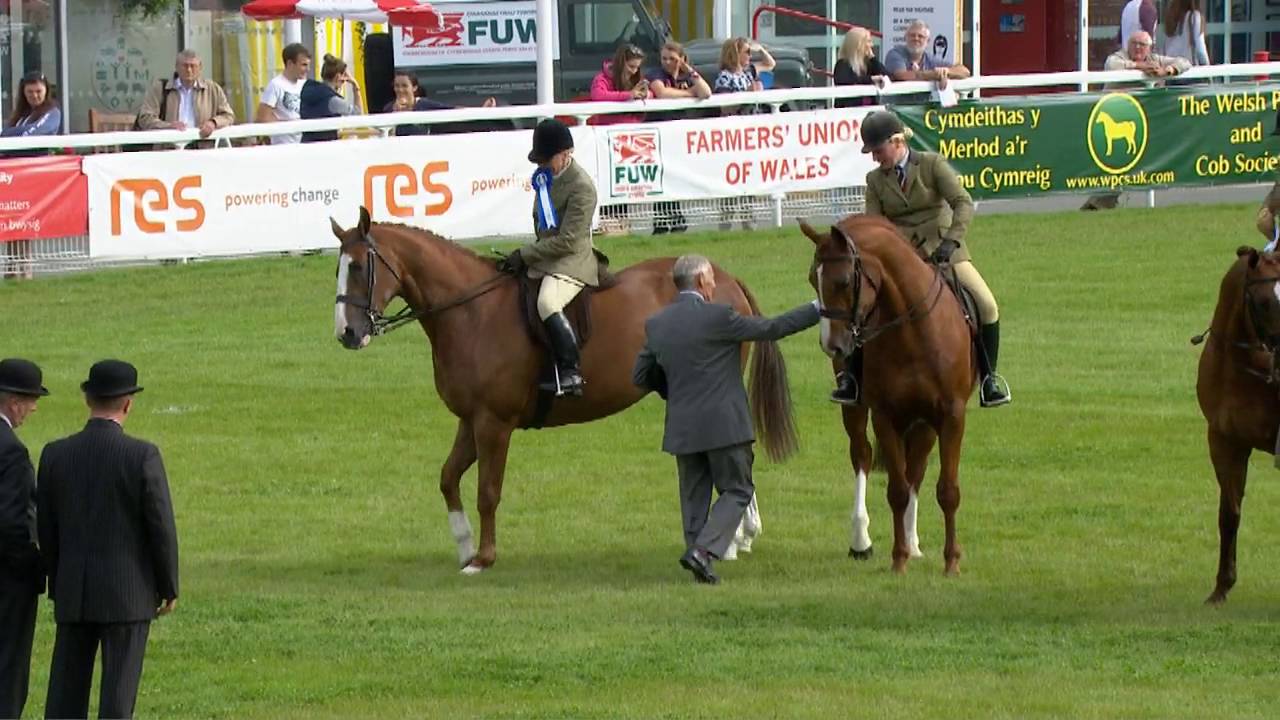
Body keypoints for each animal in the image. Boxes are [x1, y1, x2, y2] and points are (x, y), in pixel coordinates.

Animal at [330, 207, 798, 574]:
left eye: (358, 267)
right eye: (338, 267)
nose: (347, 334)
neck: (472, 311)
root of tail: (725, 277)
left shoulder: (494, 424)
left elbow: (487, 492)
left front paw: (484, 558)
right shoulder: (471, 419)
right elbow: (448, 479)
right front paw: (464, 548)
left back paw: (735, 539)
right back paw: (739, 538)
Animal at [800, 216, 976, 574]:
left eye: (843, 281)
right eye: (812, 279)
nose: (831, 345)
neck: (913, 329)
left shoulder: (951, 415)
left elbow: (946, 490)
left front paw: (950, 562)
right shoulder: (885, 416)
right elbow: (896, 491)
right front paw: (899, 559)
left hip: (924, 423)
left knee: (916, 470)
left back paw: (914, 541)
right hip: (856, 410)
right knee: (862, 456)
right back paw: (861, 541)